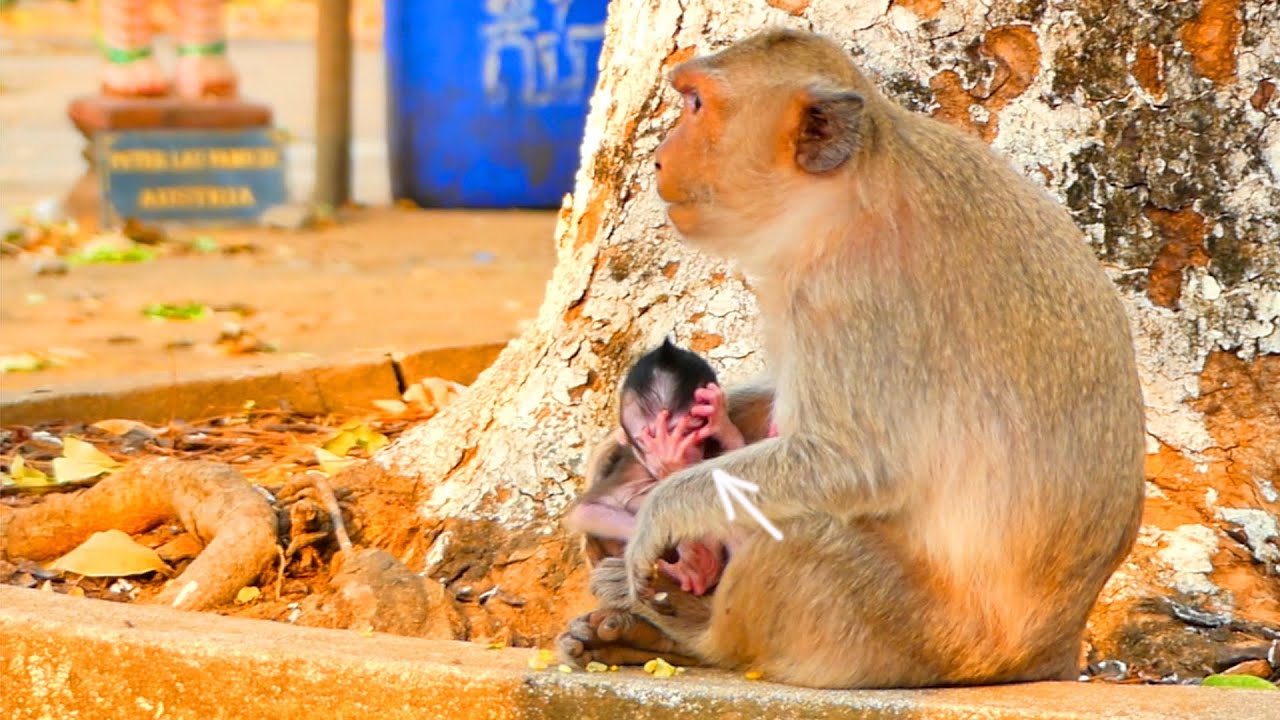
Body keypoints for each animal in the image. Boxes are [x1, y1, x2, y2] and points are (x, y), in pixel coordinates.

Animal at [566, 339, 767, 596]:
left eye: (689, 431)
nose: (671, 456)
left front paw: (720, 419)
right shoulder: (633, 471)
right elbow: (586, 511)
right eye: (650, 436)